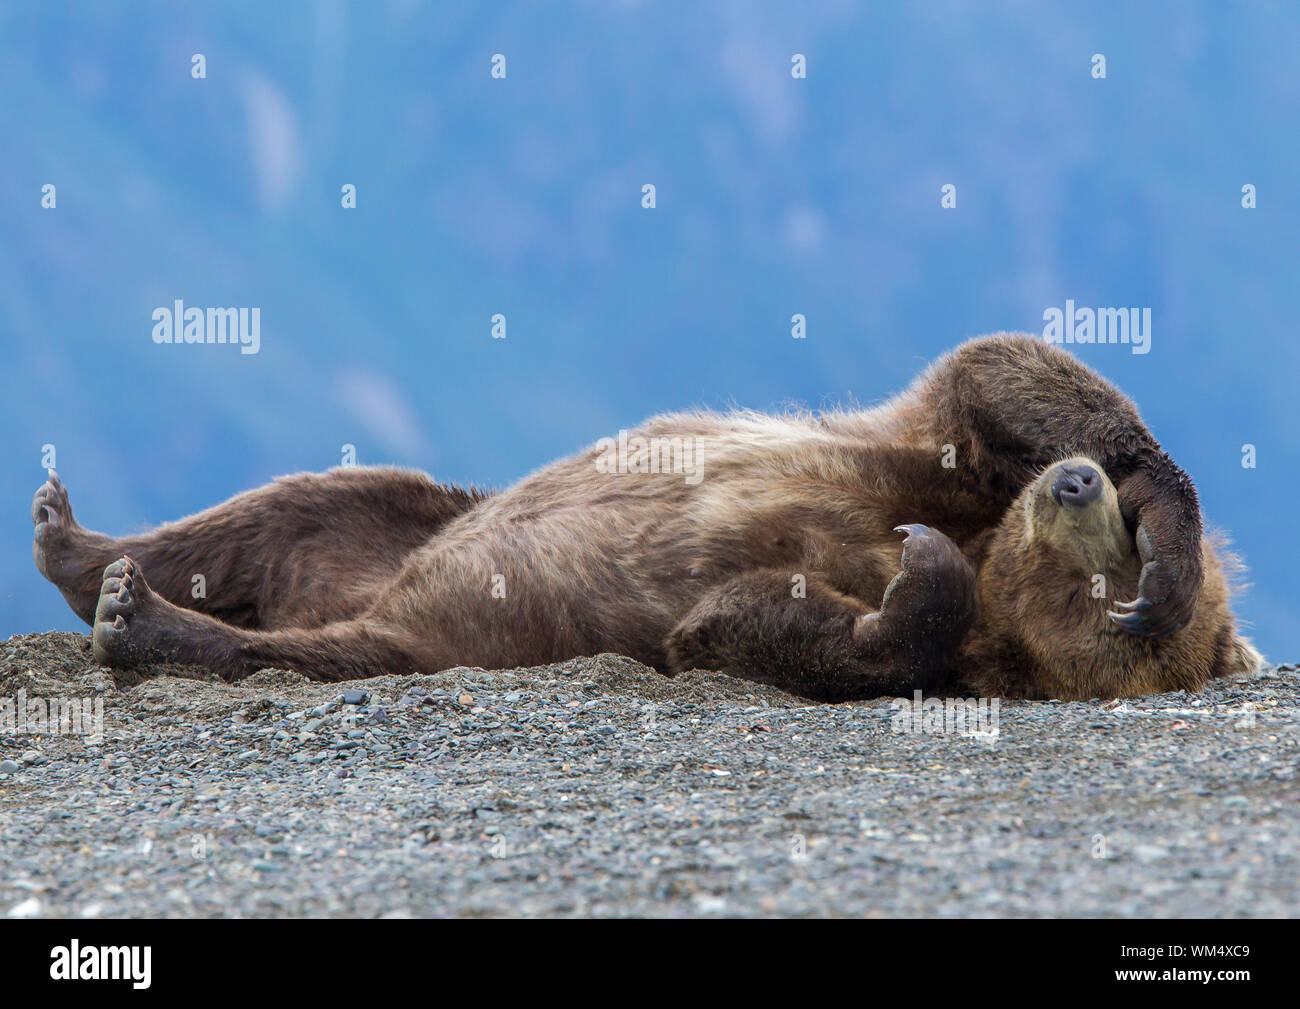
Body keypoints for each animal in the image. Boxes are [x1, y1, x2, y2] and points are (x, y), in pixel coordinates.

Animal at [30, 333, 1261, 701]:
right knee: (306, 497)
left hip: (438, 626)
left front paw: (917, 587)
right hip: (416, 519)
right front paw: (1168, 530)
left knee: (333, 646)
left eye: (1089, 589)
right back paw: (78, 538)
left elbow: (742, 625)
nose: (1075, 491)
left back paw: (142, 616)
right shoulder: (926, 458)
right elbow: (1002, 375)